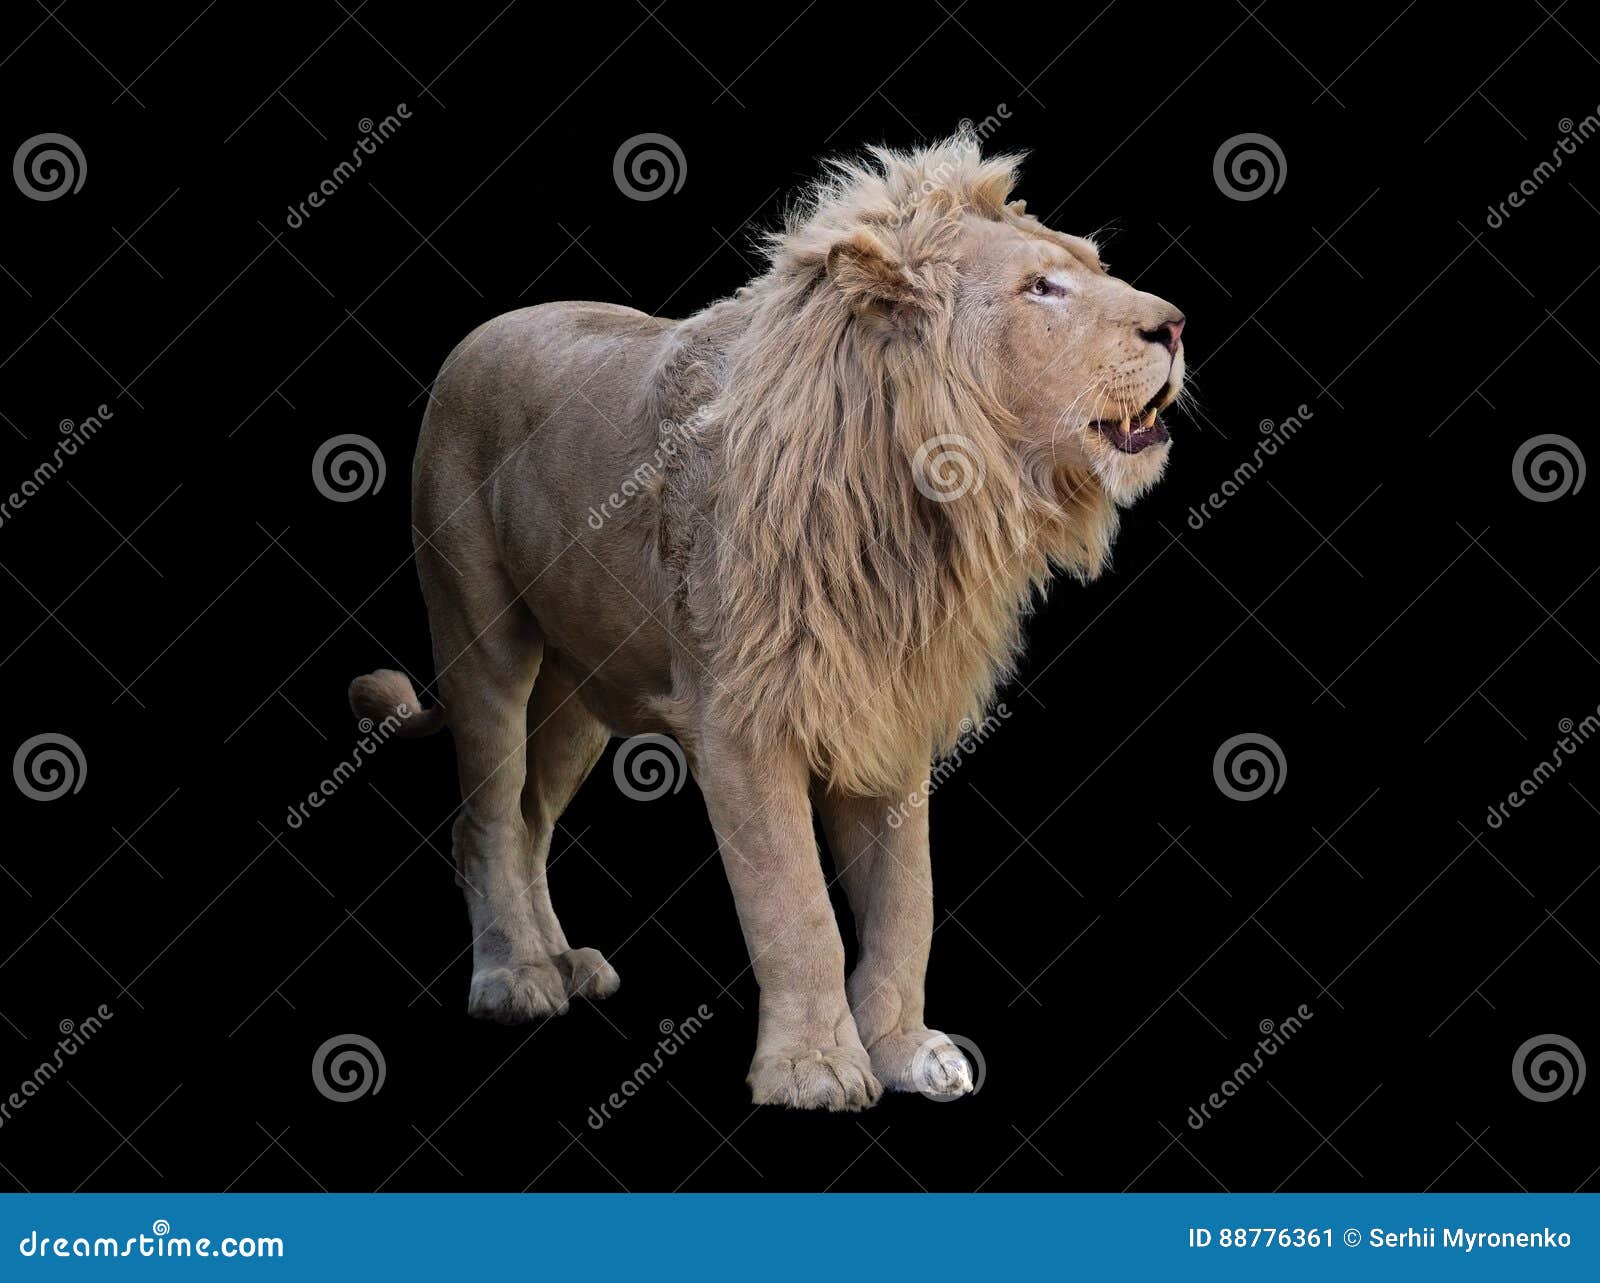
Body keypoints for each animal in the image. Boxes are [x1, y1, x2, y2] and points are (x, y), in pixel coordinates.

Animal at [349, 135, 1185, 1110]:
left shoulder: (886, 715)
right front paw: (816, 1066)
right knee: (482, 816)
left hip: (578, 696)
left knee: (528, 820)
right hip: (483, 639)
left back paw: (563, 961)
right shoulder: (740, 724)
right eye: (1042, 288)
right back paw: (514, 978)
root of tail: (479, 336)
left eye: (1093, 265)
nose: (1175, 326)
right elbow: (798, 908)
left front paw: (907, 1048)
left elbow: (907, 902)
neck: (915, 509)